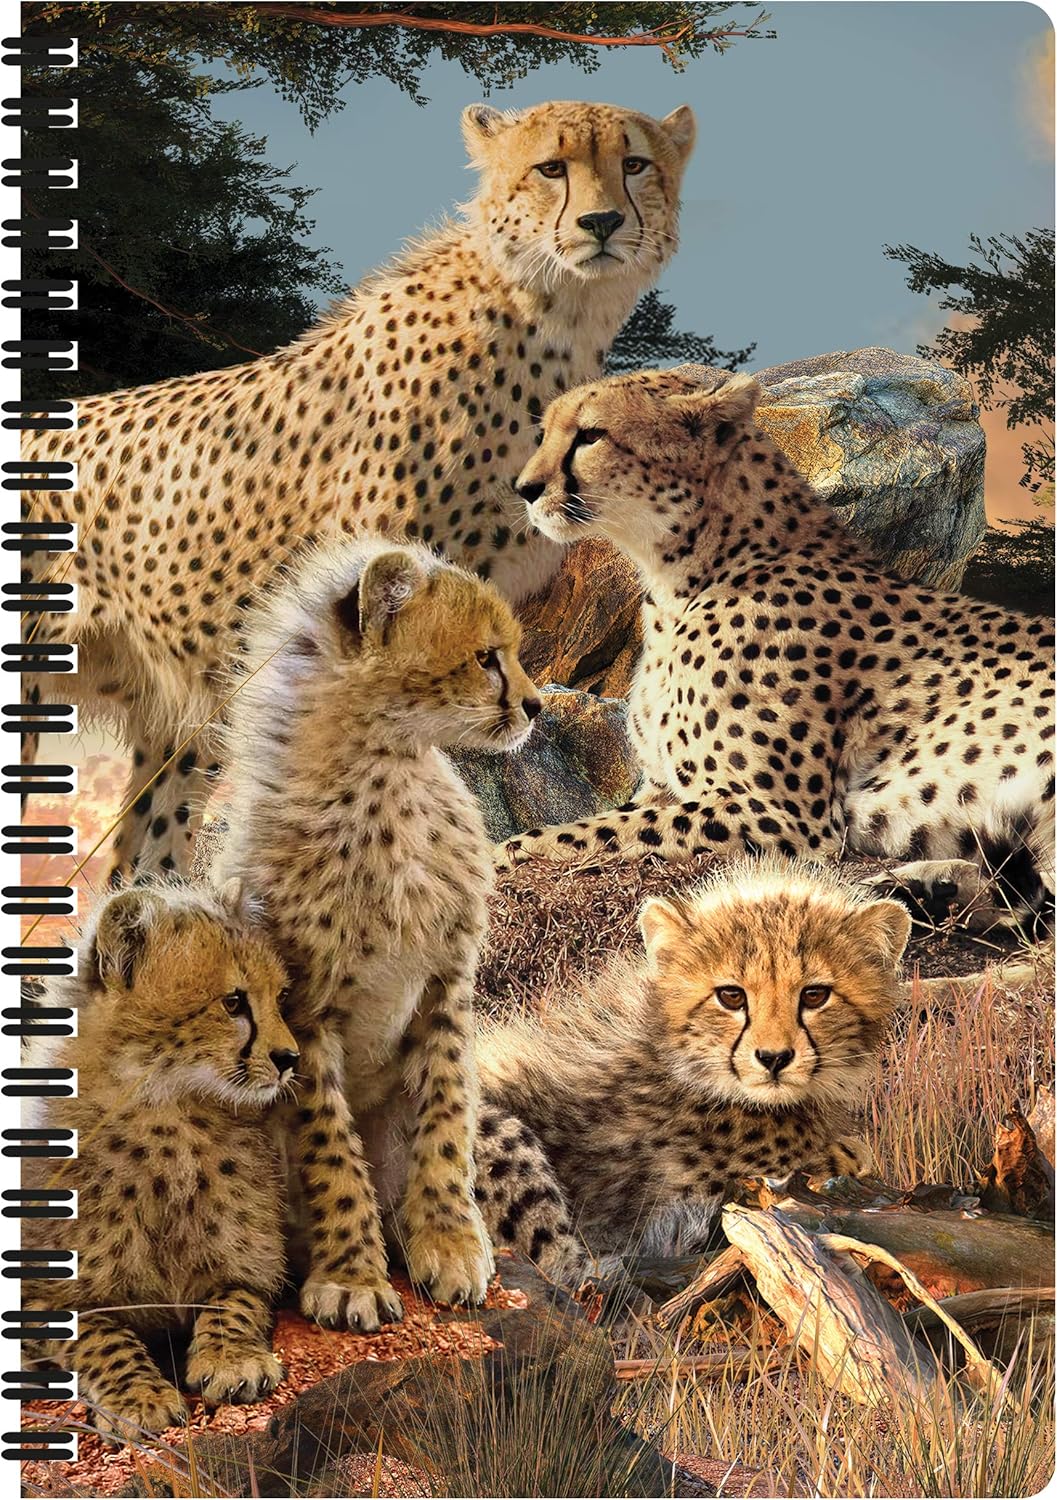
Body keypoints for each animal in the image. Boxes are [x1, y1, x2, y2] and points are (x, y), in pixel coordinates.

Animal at [21, 881, 296, 1444]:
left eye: (280, 998)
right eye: (233, 1002)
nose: (290, 1058)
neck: (167, 1115)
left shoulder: (251, 1270)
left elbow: (234, 1299)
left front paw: (232, 1359)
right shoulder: (36, 1297)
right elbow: (98, 1333)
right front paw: (138, 1397)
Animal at [208, 537, 541, 1331]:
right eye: (486, 657)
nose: (536, 705)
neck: (388, 773)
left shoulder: (447, 986)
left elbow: (446, 1117)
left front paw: (450, 1244)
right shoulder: (300, 1015)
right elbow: (329, 1144)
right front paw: (352, 1276)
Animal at [499, 364, 1055, 930]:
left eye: (591, 435)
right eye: (545, 433)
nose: (525, 488)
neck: (685, 573)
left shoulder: (790, 818)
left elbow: (578, 833)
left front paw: (506, 853)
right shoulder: (663, 788)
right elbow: (604, 819)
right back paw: (928, 888)